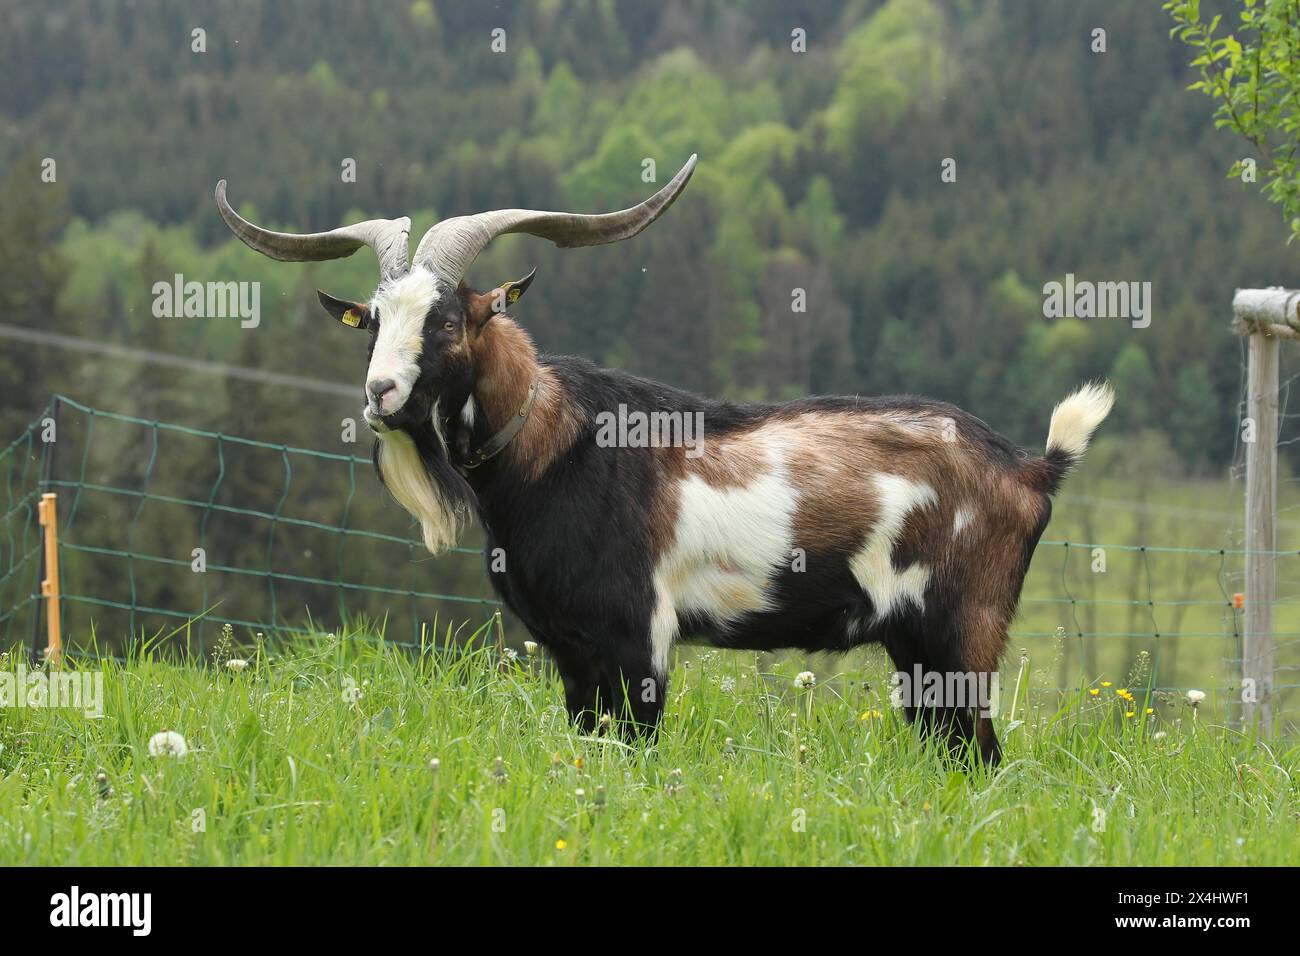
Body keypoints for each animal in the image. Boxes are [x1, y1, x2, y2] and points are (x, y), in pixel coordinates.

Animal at [215, 157, 1113, 765]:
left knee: (982, 755)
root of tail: (1031, 469)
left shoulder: (636, 636)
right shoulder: (572, 649)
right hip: (918, 648)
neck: (558, 448)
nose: (381, 393)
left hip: (965, 630)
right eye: (371, 322)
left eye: (445, 321)